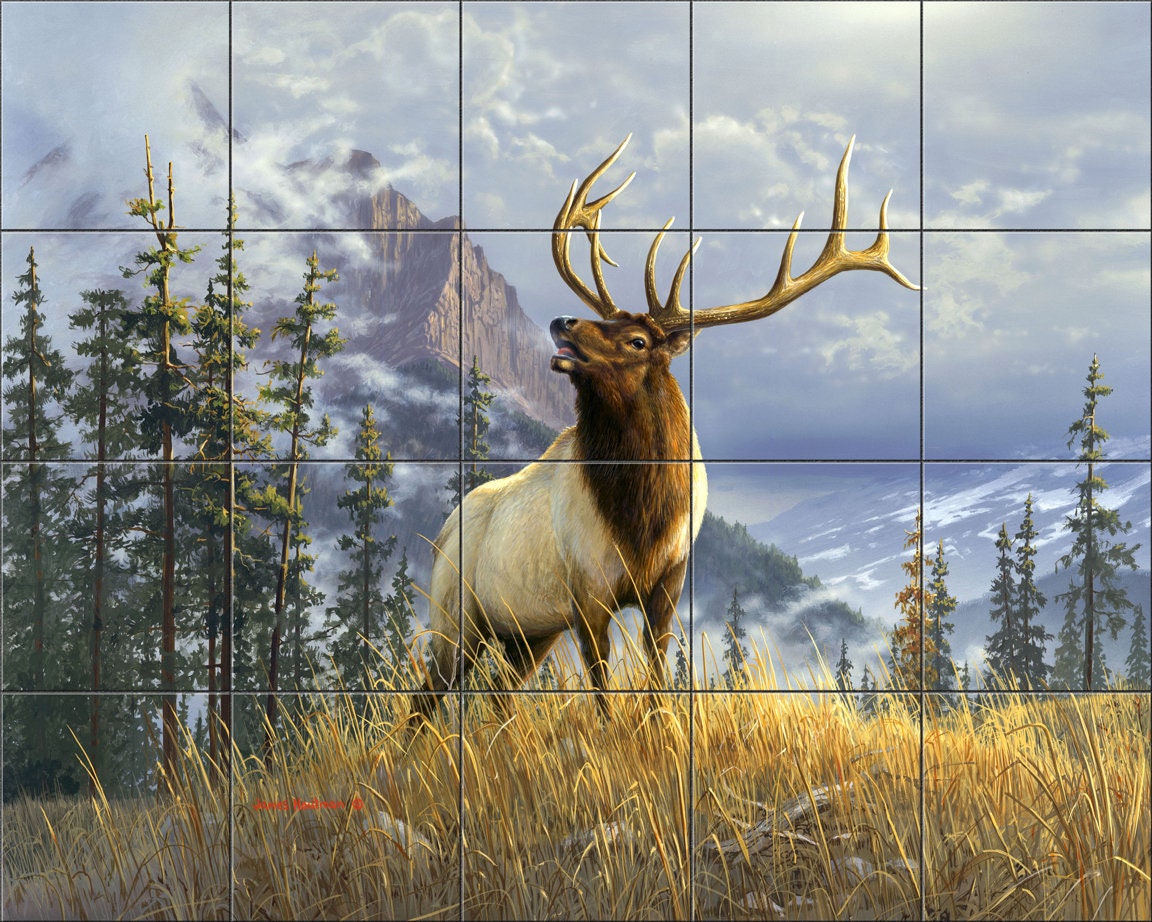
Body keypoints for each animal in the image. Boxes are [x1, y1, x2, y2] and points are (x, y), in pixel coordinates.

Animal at [409, 135, 917, 726]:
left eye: (637, 340)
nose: (561, 321)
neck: (642, 517)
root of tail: (441, 533)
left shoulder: (667, 585)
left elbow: (655, 672)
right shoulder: (586, 594)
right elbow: (602, 690)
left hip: (527, 632)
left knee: (496, 694)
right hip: (455, 616)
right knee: (427, 697)